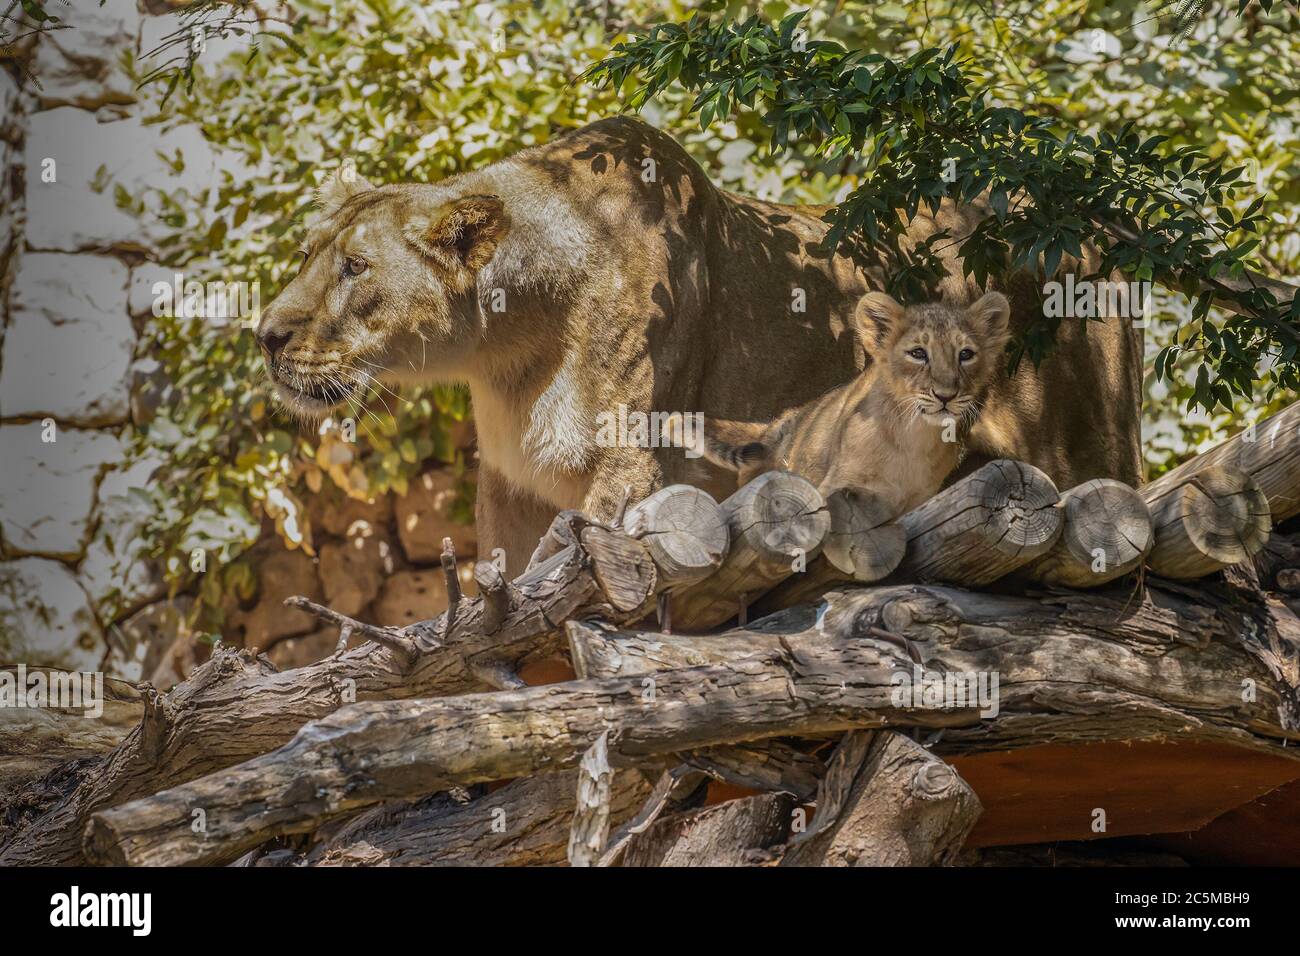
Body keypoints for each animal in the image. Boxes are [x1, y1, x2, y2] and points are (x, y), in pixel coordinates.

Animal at [255, 117, 1142, 575]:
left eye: (355, 268)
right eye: (310, 255)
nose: (264, 336)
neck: (512, 352)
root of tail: (1099, 220)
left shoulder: (630, 461)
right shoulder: (512, 489)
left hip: (1085, 441)